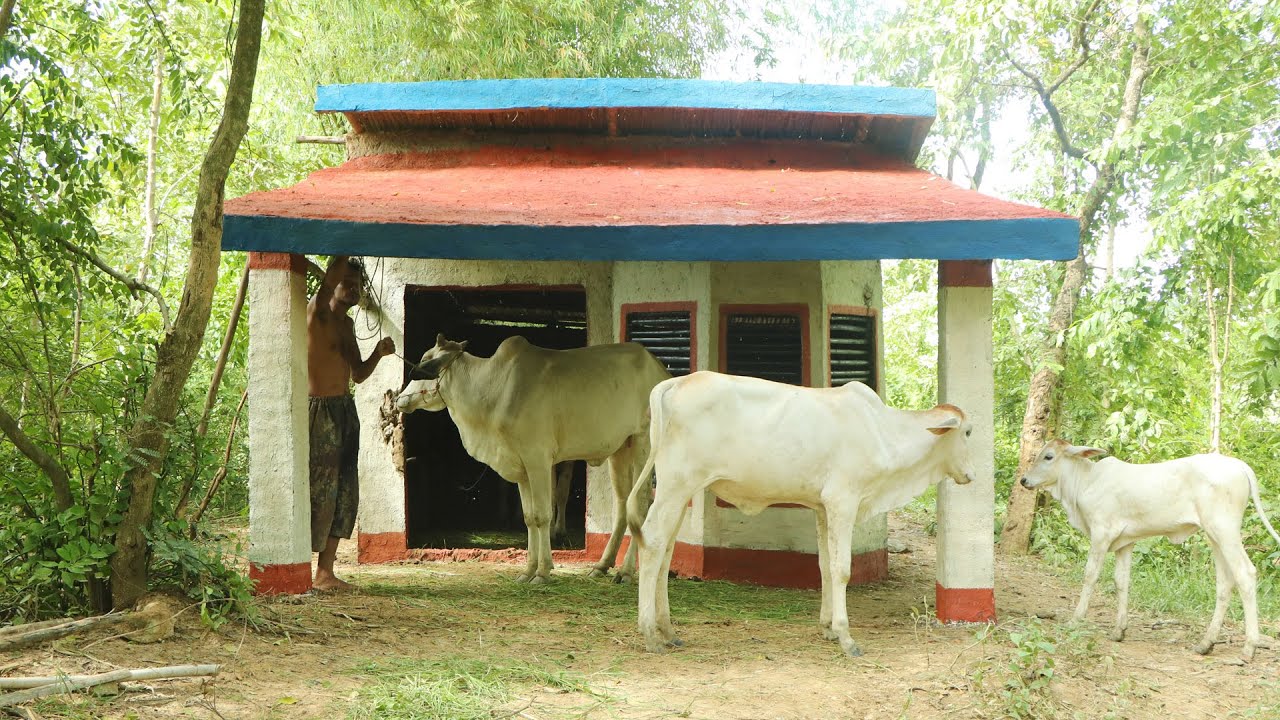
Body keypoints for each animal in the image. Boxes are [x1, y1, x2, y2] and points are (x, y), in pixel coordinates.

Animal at [396, 334, 670, 584]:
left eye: (423, 363)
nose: (399, 399)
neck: (494, 389)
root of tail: (661, 370)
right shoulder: (521, 467)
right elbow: (529, 518)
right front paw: (527, 571)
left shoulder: (537, 459)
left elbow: (542, 515)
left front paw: (542, 571)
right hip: (621, 449)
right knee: (623, 505)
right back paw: (602, 566)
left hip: (643, 444)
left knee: (640, 505)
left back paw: (626, 572)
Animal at [624, 371, 977, 657]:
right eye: (969, 432)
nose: (972, 474)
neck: (883, 432)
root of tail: (679, 381)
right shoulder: (843, 502)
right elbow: (842, 569)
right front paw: (846, 637)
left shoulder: (823, 508)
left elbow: (824, 567)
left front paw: (827, 628)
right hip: (674, 486)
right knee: (652, 542)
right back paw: (650, 634)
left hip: (681, 492)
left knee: (666, 551)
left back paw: (668, 631)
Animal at [1020, 440, 1280, 661]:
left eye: (1048, 456)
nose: (1024, 480)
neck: (1086, 481)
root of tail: (1239, 465)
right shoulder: (1125, 543)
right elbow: (1121, 581)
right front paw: (1119, 630)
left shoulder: (1101, 534)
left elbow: (1090, 575)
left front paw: (1076, 619)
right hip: (1215, 536)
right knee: (1225, 582)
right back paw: (1206, 644)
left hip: (1225, 530)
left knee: (1245, 574)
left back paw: (1249, 648)